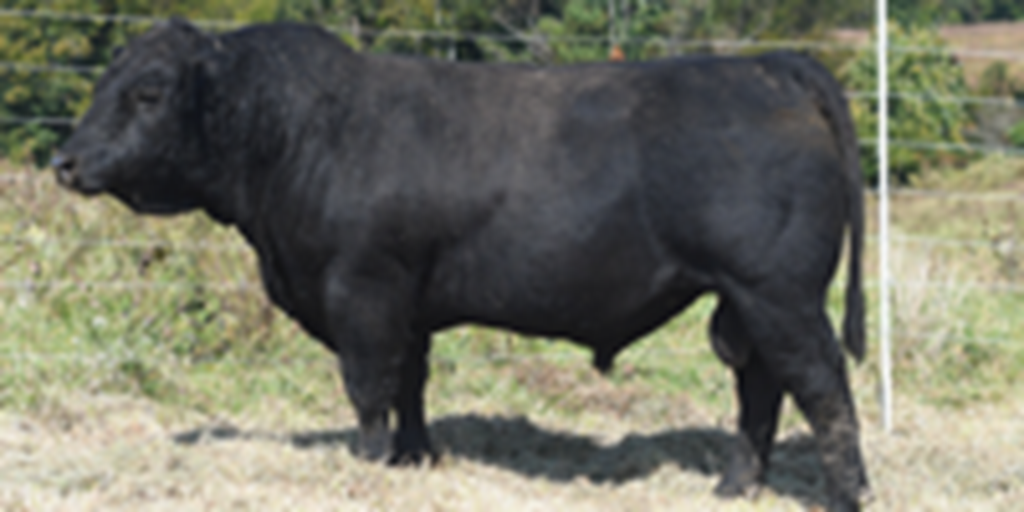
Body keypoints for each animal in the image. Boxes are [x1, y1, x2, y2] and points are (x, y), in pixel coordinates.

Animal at [51, 19, 870, 511]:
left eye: (148, 92)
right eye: (103, 83)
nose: (65, 161)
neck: (298, 132)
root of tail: (771, 67)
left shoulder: (361, 288)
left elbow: (368, 385)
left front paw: (368, 464)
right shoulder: (408, 300)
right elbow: (411, 383)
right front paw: (414, 459)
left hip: (779, 294)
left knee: (821, 385)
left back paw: (847, 492)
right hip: (745, 303)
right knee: (761, 386)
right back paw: (734, 487)